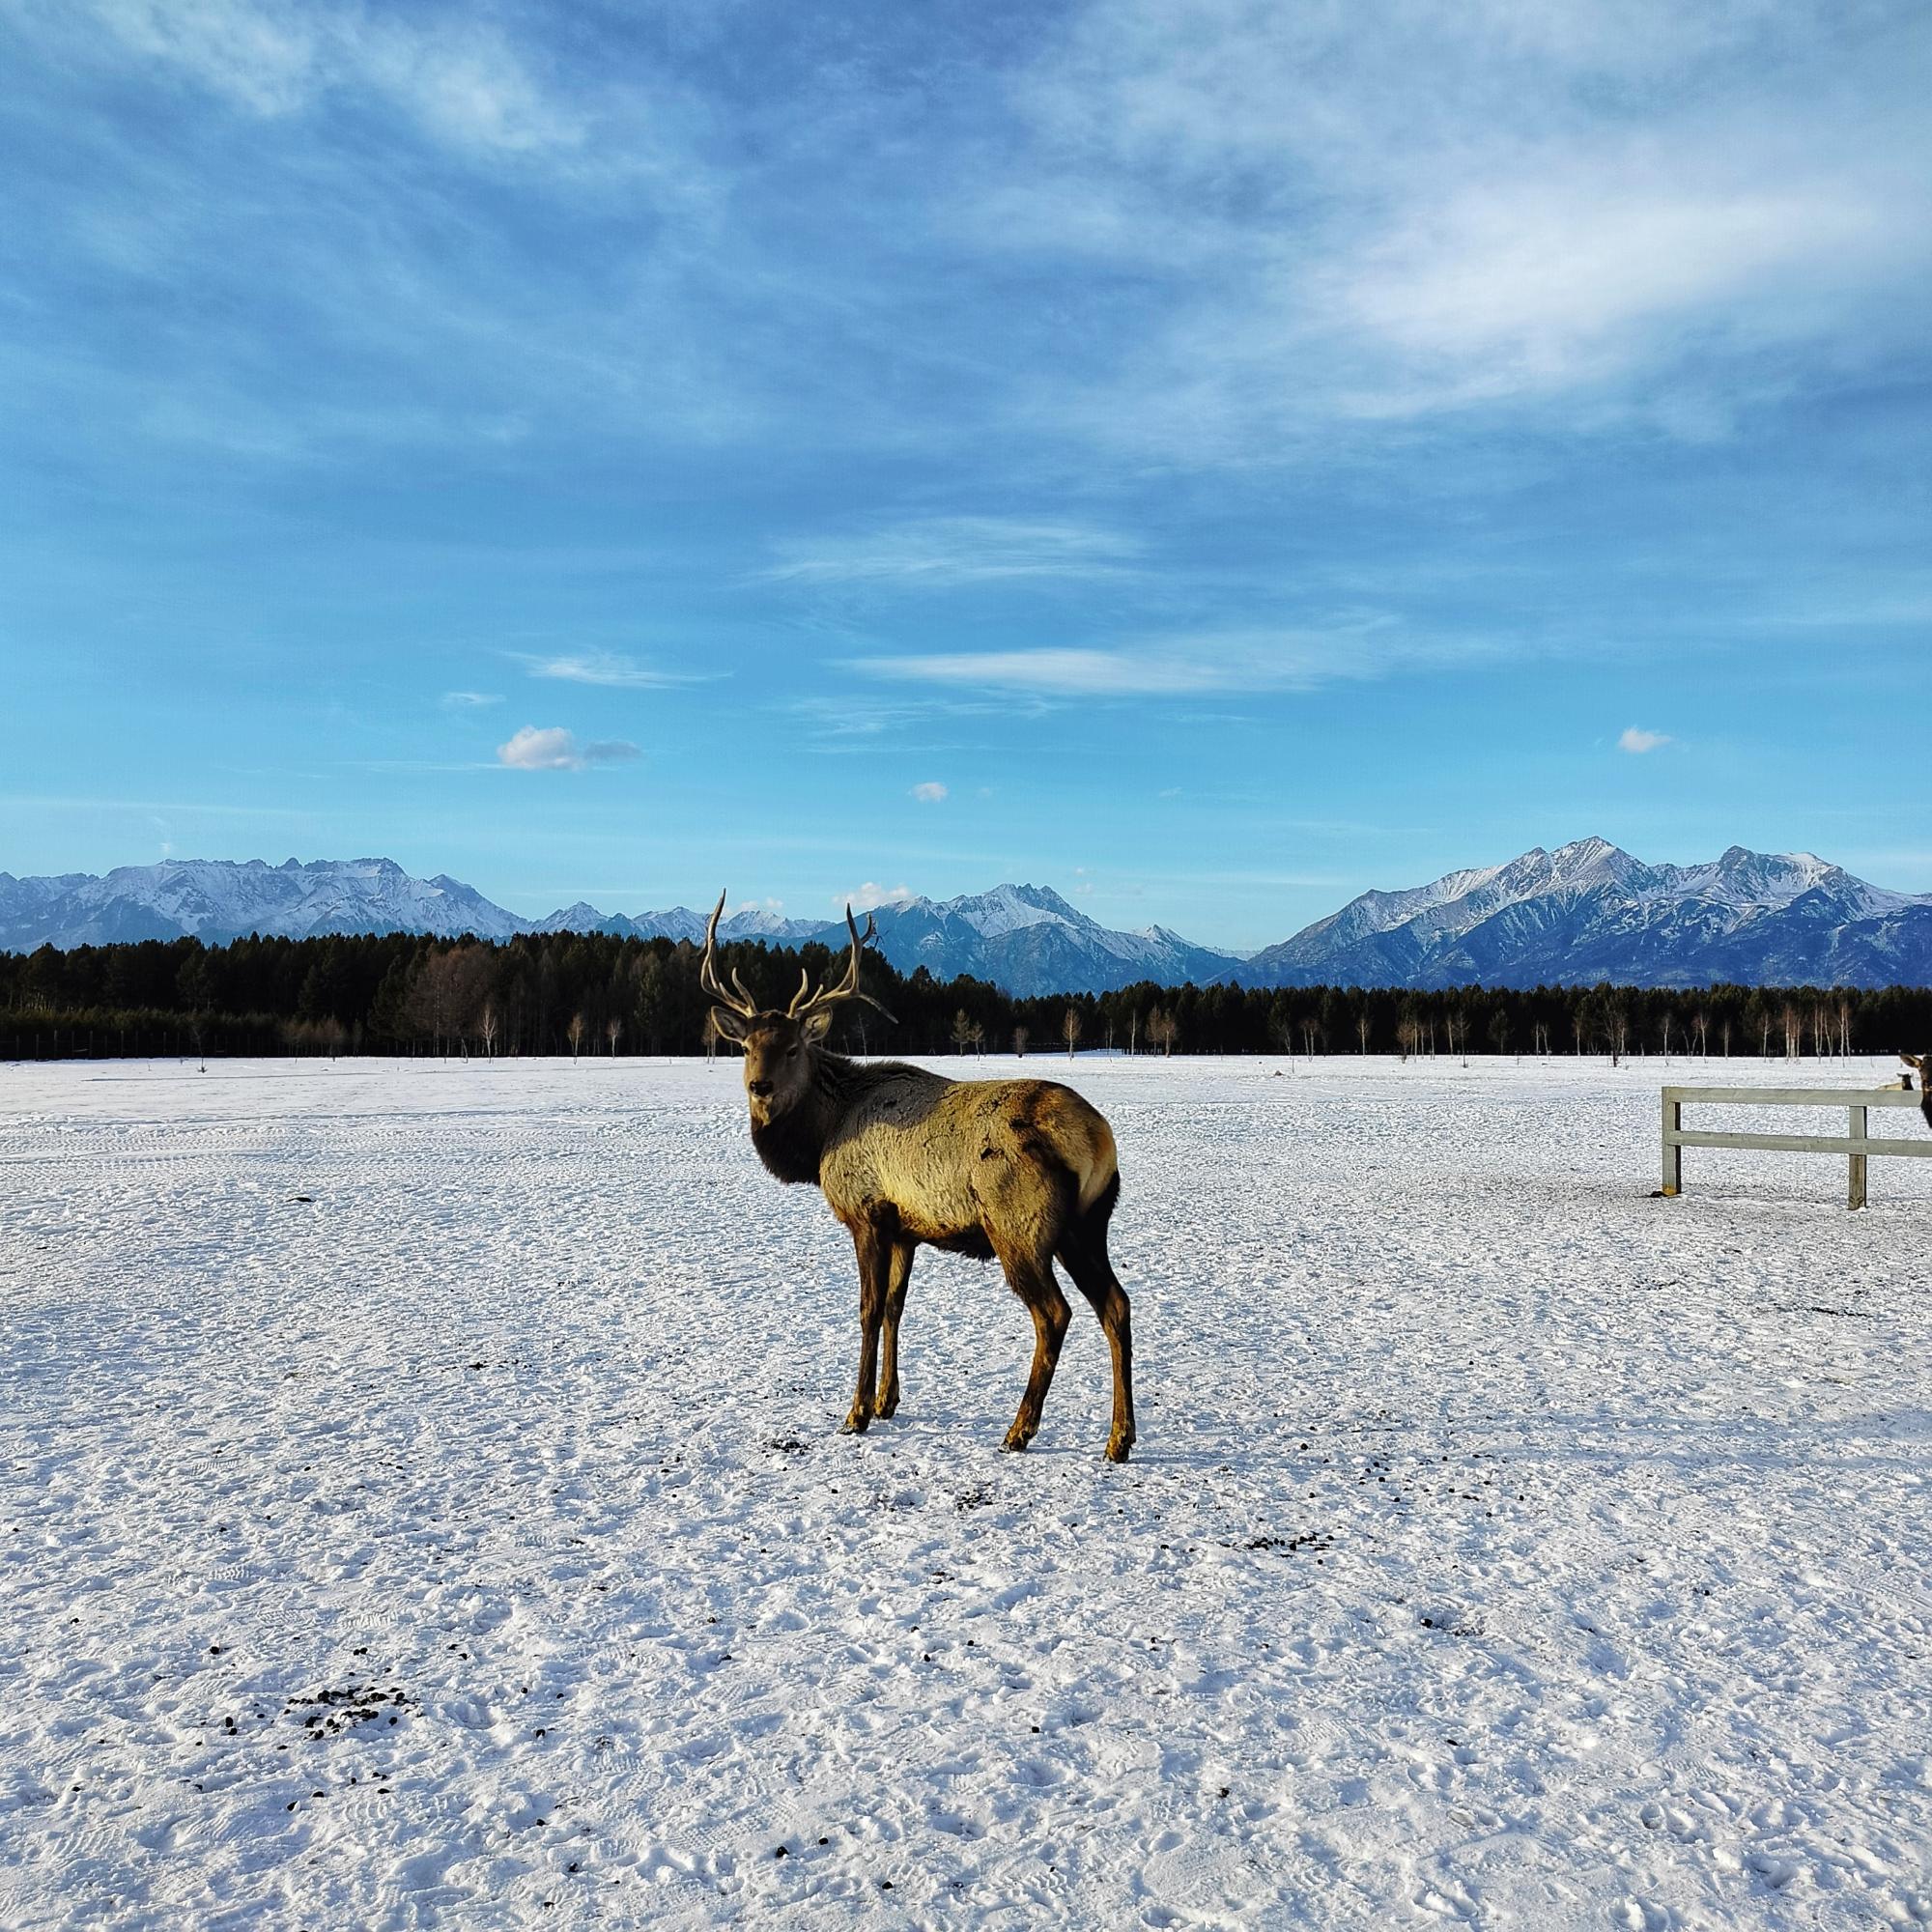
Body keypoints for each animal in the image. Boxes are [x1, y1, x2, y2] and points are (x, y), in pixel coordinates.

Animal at [707, 889, 1128, 1461]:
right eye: (747, 1047)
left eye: (792, 1047)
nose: (760, 1088)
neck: (822, 1138)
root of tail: (1097, 1137)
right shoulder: (907, 1228)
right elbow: (894, 1307)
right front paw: (888, 1401)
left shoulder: (866, 1214)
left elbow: (867, 1309)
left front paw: (857, 1413)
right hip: (1085, 1225)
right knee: (1116, 1305)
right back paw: (1119, 1439)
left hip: (1019, 1225)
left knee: (1054, 1313)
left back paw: (1019, 1430)